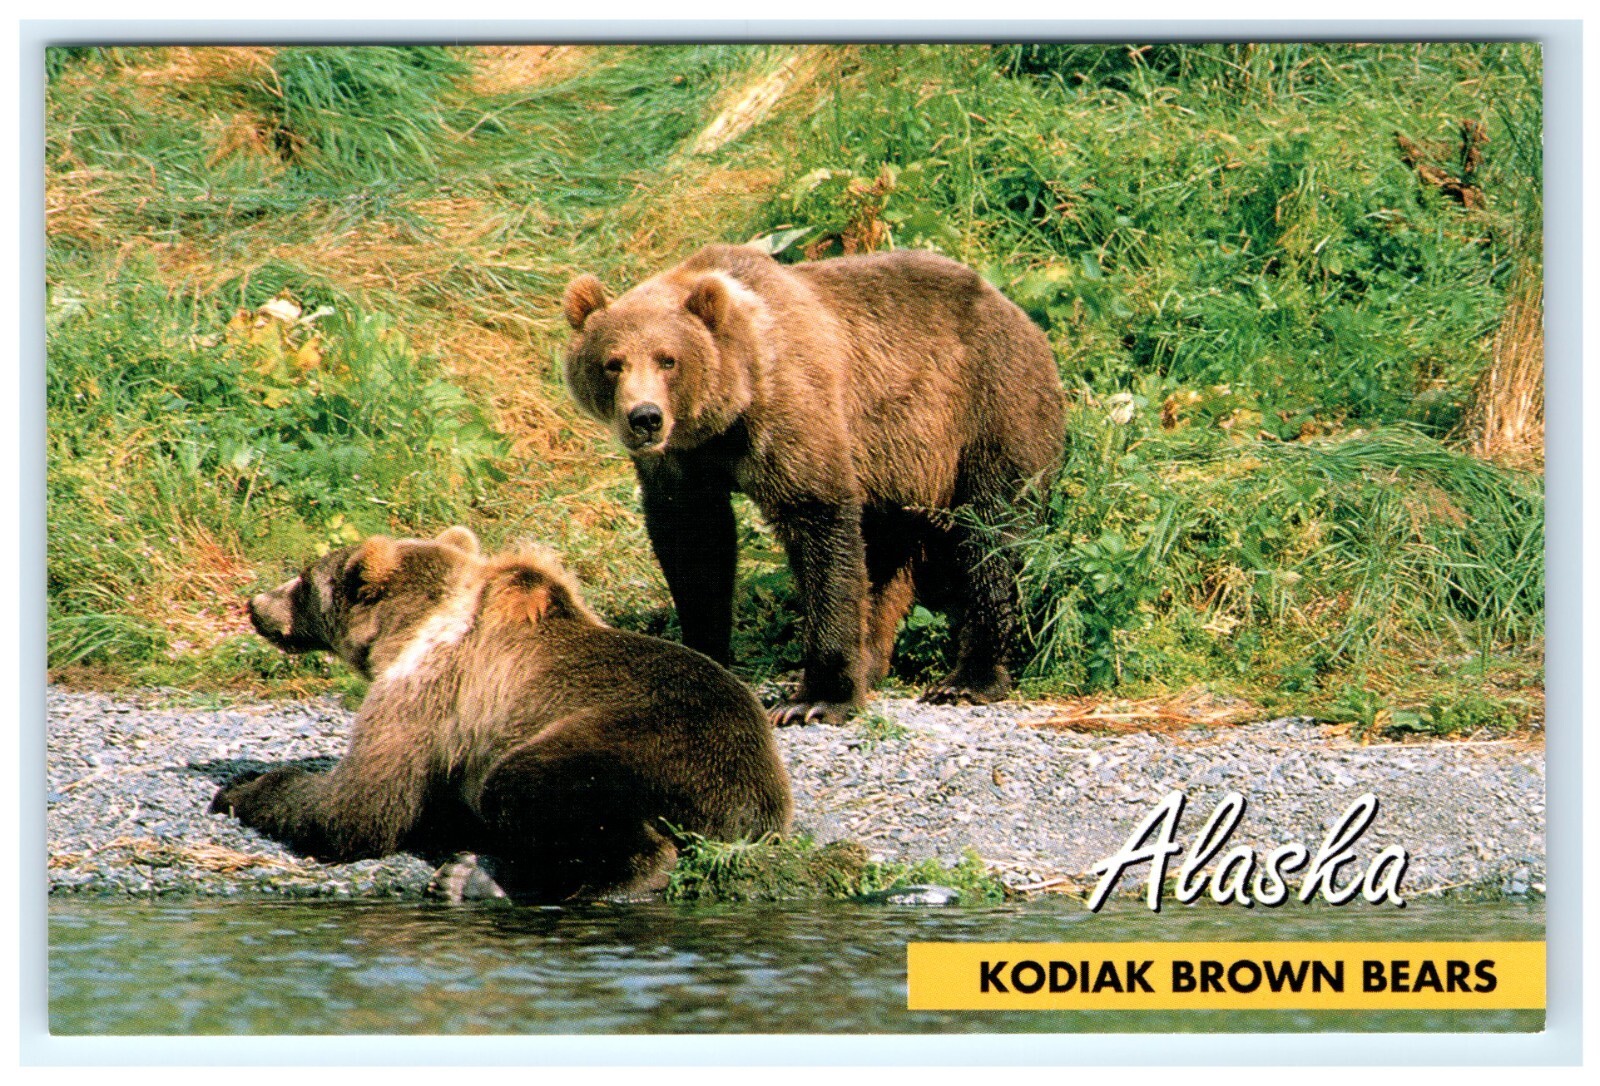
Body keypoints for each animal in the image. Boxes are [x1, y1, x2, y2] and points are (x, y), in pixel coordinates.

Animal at [212, 526, 793, 902]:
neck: (407, 626)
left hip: (640, 741)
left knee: (531, 785)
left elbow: (361, 805)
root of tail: (754, 805)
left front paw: (243, 788)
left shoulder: (427, 690)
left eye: (303, 579)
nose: (255, 604)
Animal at [562, 244, 1065, 726]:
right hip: (896, 463)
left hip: (986, 409)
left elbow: (819, 523)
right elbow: (694, 545)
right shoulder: (683, 461)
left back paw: (969, 677)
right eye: (613, 363)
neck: (730, 409)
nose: (645, 417)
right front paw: (704, 655)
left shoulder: (792, 411)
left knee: (990, 535)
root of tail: (1017, 312)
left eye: (668, 359)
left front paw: (816, 698)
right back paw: (872, 661)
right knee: (885, 555)